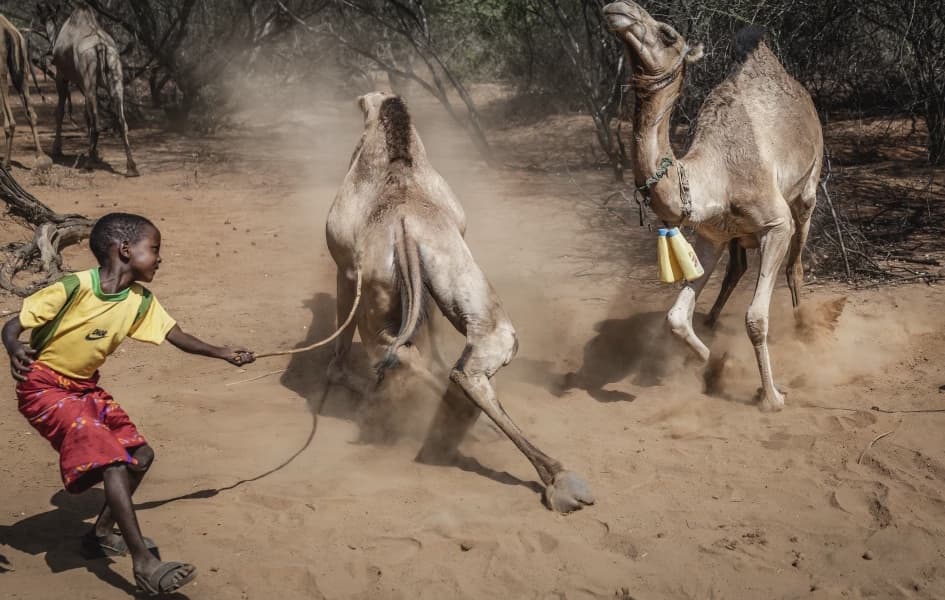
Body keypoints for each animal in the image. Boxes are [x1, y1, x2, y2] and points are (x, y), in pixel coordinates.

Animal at [0, 14, 50, 170]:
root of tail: (10, 30)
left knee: (10, 120)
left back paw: (6, 164)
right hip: (22, 68)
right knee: (31, 112)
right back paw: (41, 157)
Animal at [37, 2, 138, 176]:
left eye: (43, 13)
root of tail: (101, 46)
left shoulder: (62, 76)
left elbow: (60, 112)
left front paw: (57, 149)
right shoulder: (86, 83)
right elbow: (85, 115)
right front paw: (96, 153)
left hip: (88, 74)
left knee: (96, 121)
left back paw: (88, 164)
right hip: (115, 72)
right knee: (121, 120)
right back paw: (131, 167)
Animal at [326, 91, 594, 513]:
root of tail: (403, 226)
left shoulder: (346, 269)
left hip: (379, 286)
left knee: (397, 353)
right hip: (454, 271)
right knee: (472, 355)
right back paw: (557, 478)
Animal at [602, 1, 824, 411]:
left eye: (667, 33)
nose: (620, 9)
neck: (714, 175)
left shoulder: (776, 224)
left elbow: (755, 318)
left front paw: (771, 396)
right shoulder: (711, 235)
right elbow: (675, 318)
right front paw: (715, 362)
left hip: (807, 191)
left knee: (795, 264)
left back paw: (805, 331)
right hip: (738, 233)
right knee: (736, 268)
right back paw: (713, 322)